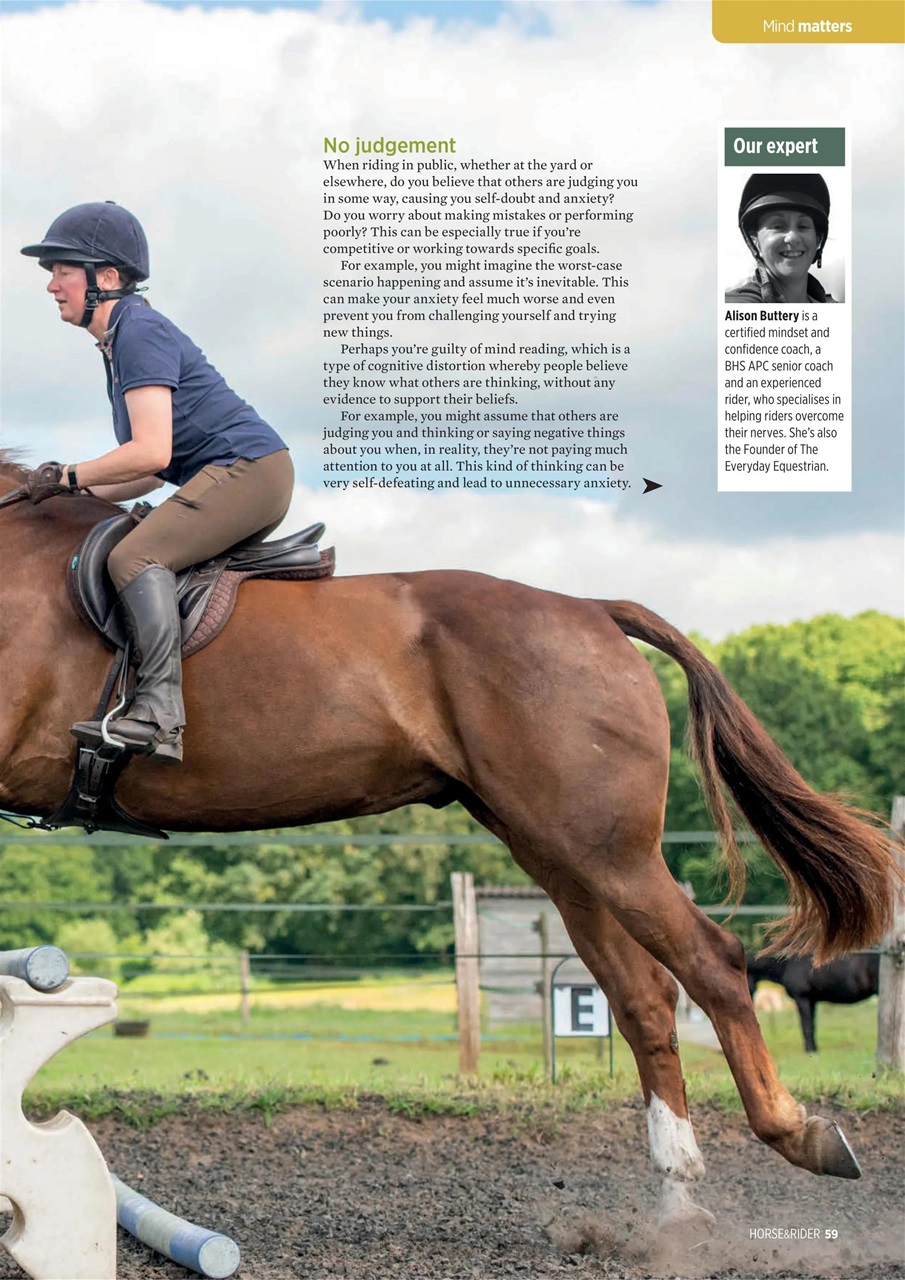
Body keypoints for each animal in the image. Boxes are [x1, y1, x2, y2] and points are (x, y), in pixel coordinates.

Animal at [747, 951, 881, 1053]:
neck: (787, 964)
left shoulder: (803, 999)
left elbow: (806, 1025)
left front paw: (809, 1050)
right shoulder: (812, 1001)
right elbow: (812, 1026)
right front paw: (815, 1049)